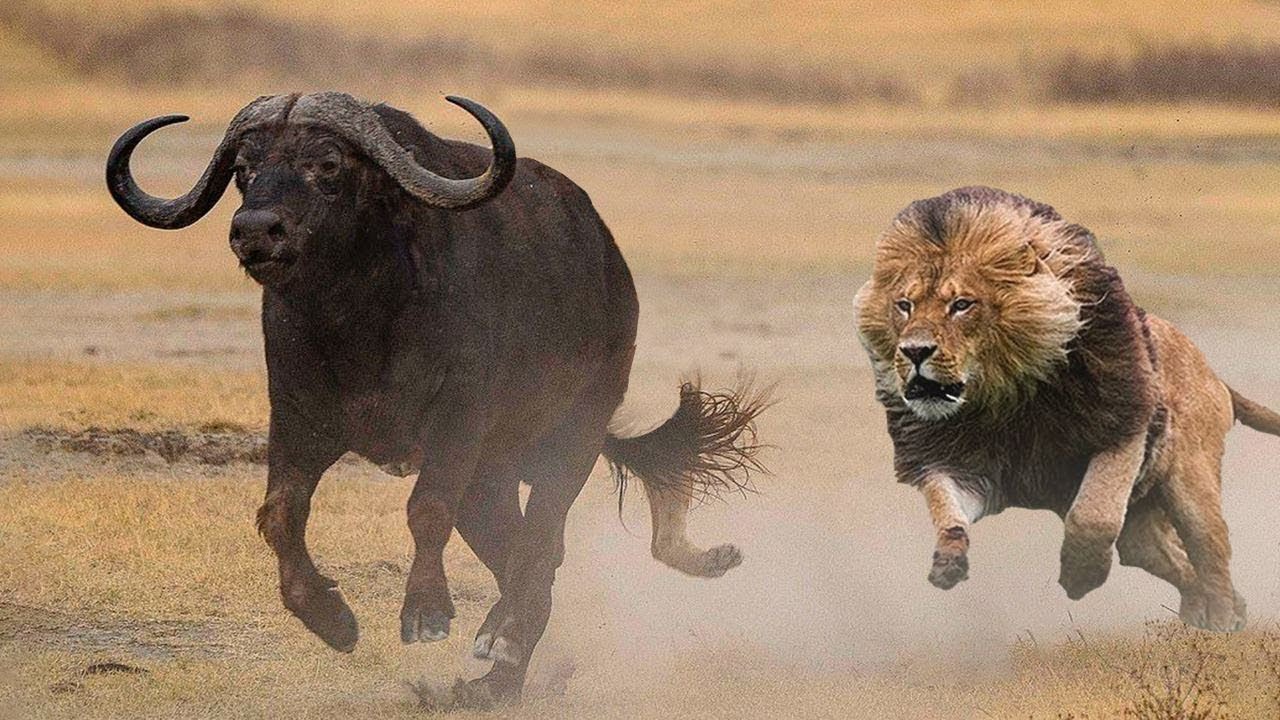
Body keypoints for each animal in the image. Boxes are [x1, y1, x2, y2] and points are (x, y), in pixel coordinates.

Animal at [853, 186, 1280, 632]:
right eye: (904, 305)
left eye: (962, 304)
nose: (913, 351)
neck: (1002, 399)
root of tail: (1213, 372)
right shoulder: (963, 465)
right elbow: (944, 505)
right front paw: (947, 561)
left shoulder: (1123, 428)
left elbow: (1092, 515)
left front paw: (1080, 576)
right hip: (1141, 530)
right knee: (1175, 560)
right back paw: (1205, 608)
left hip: (1191, 484)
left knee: (1210, 553)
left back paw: (1223, 614)